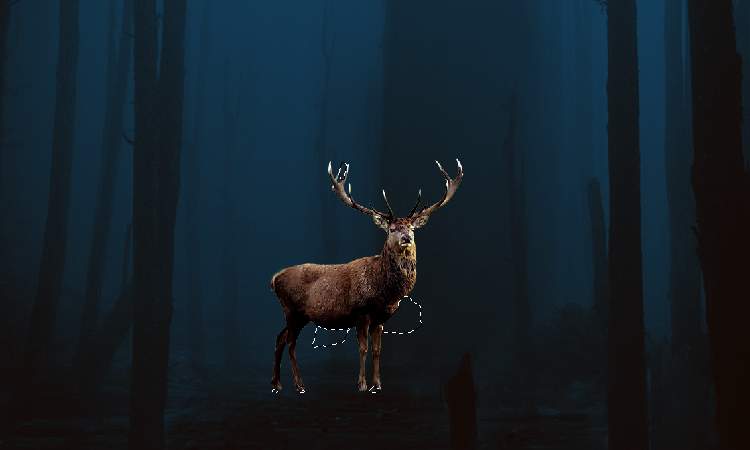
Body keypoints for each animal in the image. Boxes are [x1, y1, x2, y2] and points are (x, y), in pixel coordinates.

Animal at [270, 159, 463, 394]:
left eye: (411, 228)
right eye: (391, 229)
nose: (406, 238)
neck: (384, 292)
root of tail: (274, 279)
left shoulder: (380, 318)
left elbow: (377, 350)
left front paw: (377, 384)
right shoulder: (360, 312)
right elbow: (362, 348)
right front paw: (361, 384)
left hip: (299, 315)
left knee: (280, 338)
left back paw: (277, 383)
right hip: (291, 310)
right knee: (290, 343)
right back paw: (299, 385)